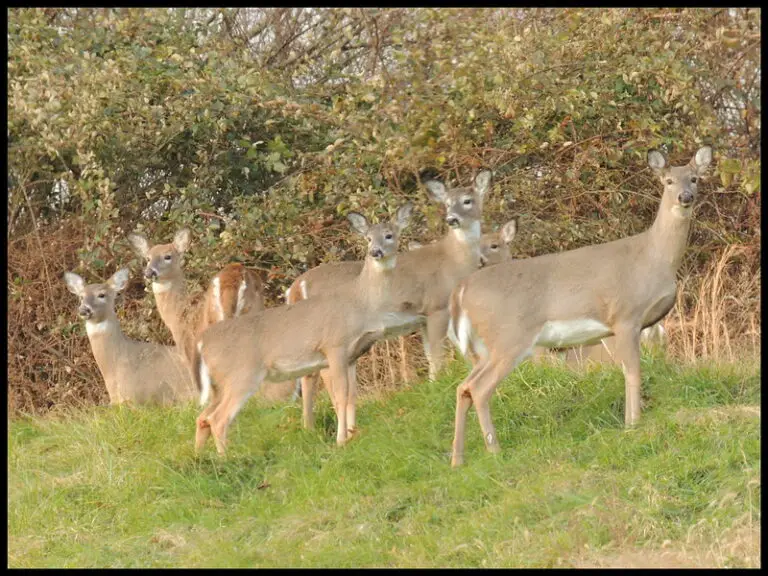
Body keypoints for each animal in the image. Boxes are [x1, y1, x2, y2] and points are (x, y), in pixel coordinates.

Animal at [195, 203, 422, 454]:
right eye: (368, 238)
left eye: (389, 235)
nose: (376, 252)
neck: (360, 301)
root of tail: (202, 342)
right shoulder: (334, 346)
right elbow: (341, 395)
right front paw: (341, 440)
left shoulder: (352, 354)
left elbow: (352, 395)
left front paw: (353, 435)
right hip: (242, 374)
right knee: (218, 419)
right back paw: (227, 457)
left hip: (221, 383)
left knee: (203, 417)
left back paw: (200, 457)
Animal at [285, 171, 492, 431]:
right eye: (446, 203)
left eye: (467, 200)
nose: (452, 219)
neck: (453, 260)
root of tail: (295, 288)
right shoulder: (436, 306)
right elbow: (438, 353)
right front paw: (439, 386)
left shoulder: (423, 317)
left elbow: (437, 352)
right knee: (322, 373)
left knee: (309, 374)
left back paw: (311, 427)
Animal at [448, 146, 712, 466]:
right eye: (668, 181)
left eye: (694, 178)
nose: (685, 197)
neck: (653, 257)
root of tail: (461, 290)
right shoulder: (625, 315)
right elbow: (633, 372)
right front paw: (633, 425)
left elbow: (627, 371)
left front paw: (628, 422)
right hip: (510, 336)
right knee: (479, 388)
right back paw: (494, 450)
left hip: (486, 347)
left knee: (463, 387)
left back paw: (457, 460)